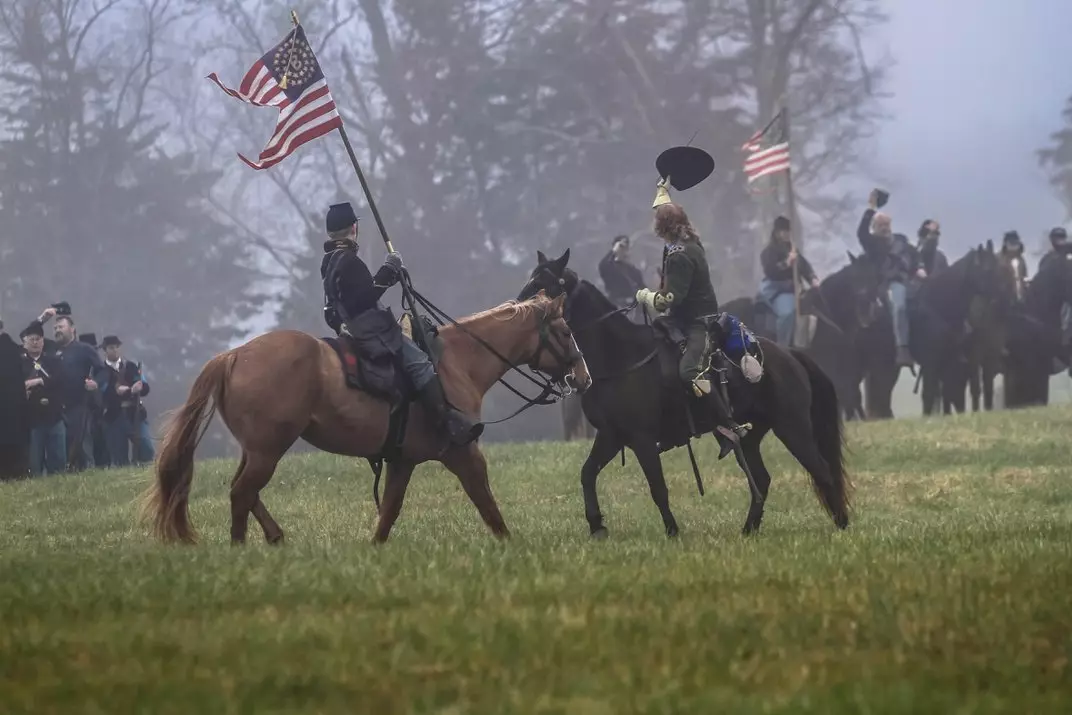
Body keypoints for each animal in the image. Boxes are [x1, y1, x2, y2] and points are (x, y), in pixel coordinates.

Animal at [142, 293, 591, 544]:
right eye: (567, 331)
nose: (582, 377)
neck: (457, 363)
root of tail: (233, 355)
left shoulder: (402, 461)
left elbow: (388, 512)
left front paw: (374, 549)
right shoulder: (463, 453)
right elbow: (487, 504)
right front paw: (510, 545)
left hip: (256, 450)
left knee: (245, 491)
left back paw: (274, 537)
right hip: (269, 449)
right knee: (241, 493)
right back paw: (241, 547)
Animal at [514, 250, 849, 535]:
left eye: (543, 285)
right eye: (530, 280)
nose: (515, 313)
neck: (620, 356)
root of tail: (790, 355)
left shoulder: (642, 439)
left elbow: (658, 488)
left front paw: (672, 531)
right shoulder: (611, 436)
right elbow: (587, 473)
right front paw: (596, 525)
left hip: (793, 428)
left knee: (822, 470)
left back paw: (841, 525)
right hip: (750, 438)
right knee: (762, 479)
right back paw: (748, 530)